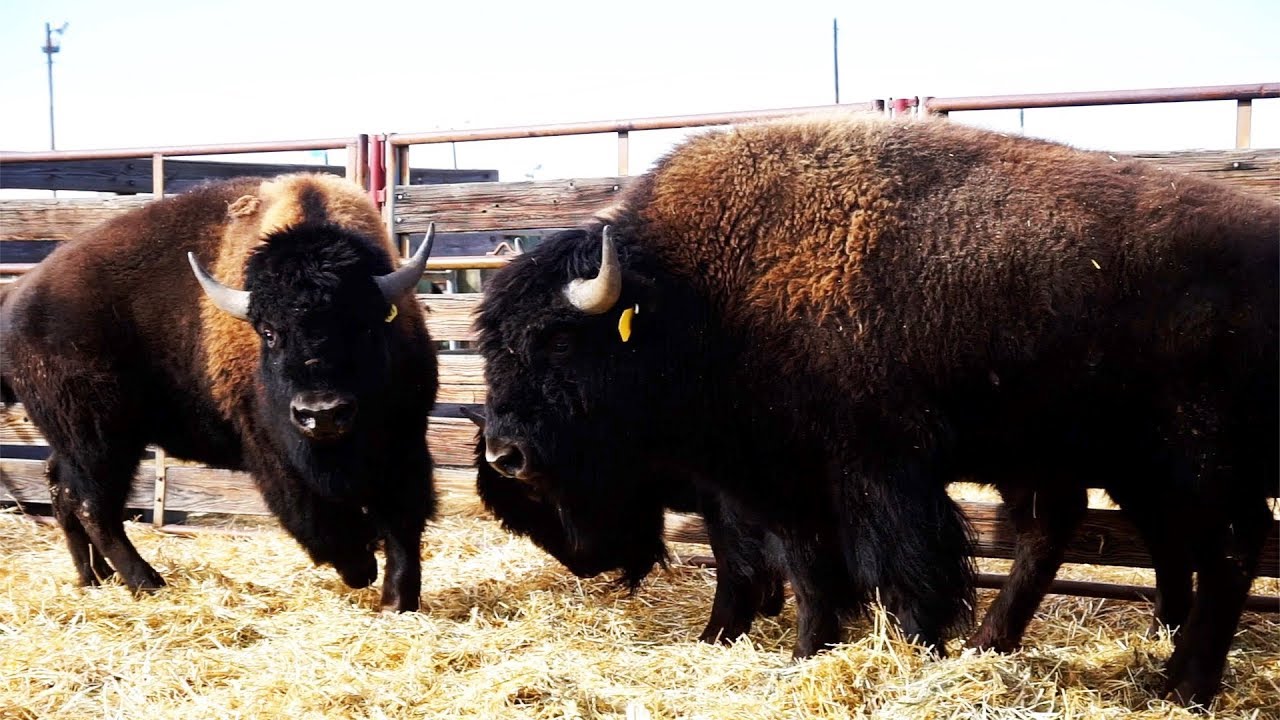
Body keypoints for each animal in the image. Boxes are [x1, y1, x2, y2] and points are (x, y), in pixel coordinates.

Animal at [1, 174, 438, 611]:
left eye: (366, 326)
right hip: (99, 438)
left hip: (78, 440)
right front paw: (362, 568)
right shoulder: (274, 453)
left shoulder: (406, 438)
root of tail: (17, 297)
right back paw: (147, 582)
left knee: (62, 490)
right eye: (268, 332)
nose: (322, 413)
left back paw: (95, 579)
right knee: (93, 504)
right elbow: (318, 516)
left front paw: (397, 601)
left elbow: (403, 517)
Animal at [474, 115, 1277, 706]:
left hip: (1190, 461)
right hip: (1090, 457)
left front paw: (908, 647)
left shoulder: (874, 468)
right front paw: (812, 650)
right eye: (492, 344)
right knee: (1082, 535)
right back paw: (1018, 649)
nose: (505, 454)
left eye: (558, 342)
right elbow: (811, 569)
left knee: (1227, 550)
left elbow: (894, 565)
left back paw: (1184, 685)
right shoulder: (781, 484)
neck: (693, 292)